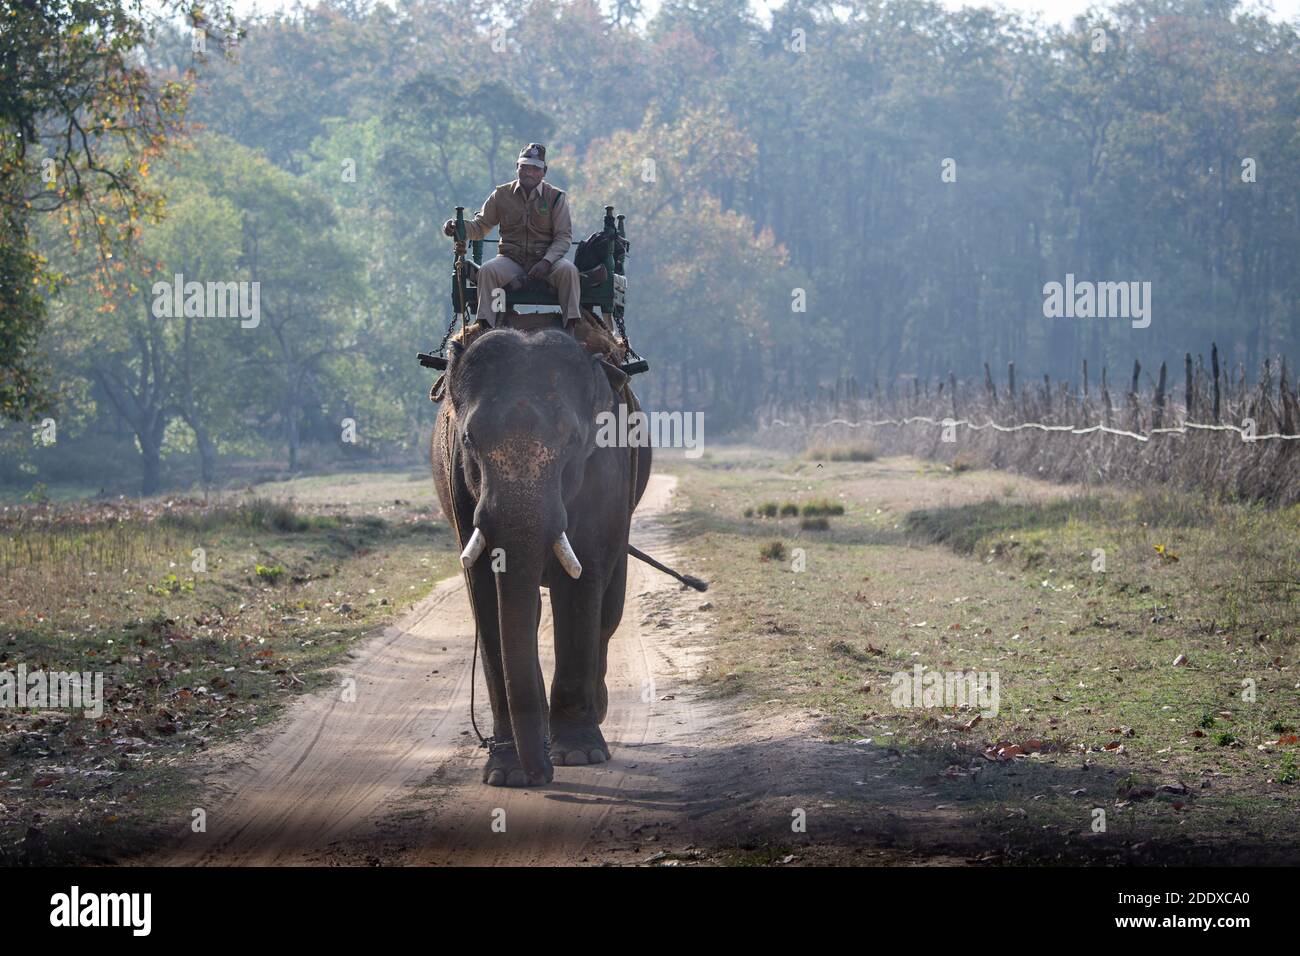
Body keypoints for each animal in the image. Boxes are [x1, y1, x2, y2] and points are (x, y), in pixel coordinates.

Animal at [432, 326, 652, 786]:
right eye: (469, 439)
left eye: (573, 440)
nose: (541, 775)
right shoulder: (460, 489)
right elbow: (485, 588)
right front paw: (506, 771)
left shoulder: (606, 472)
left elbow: (583, 578)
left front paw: (580, 754)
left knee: (609, 609)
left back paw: (595, 711)